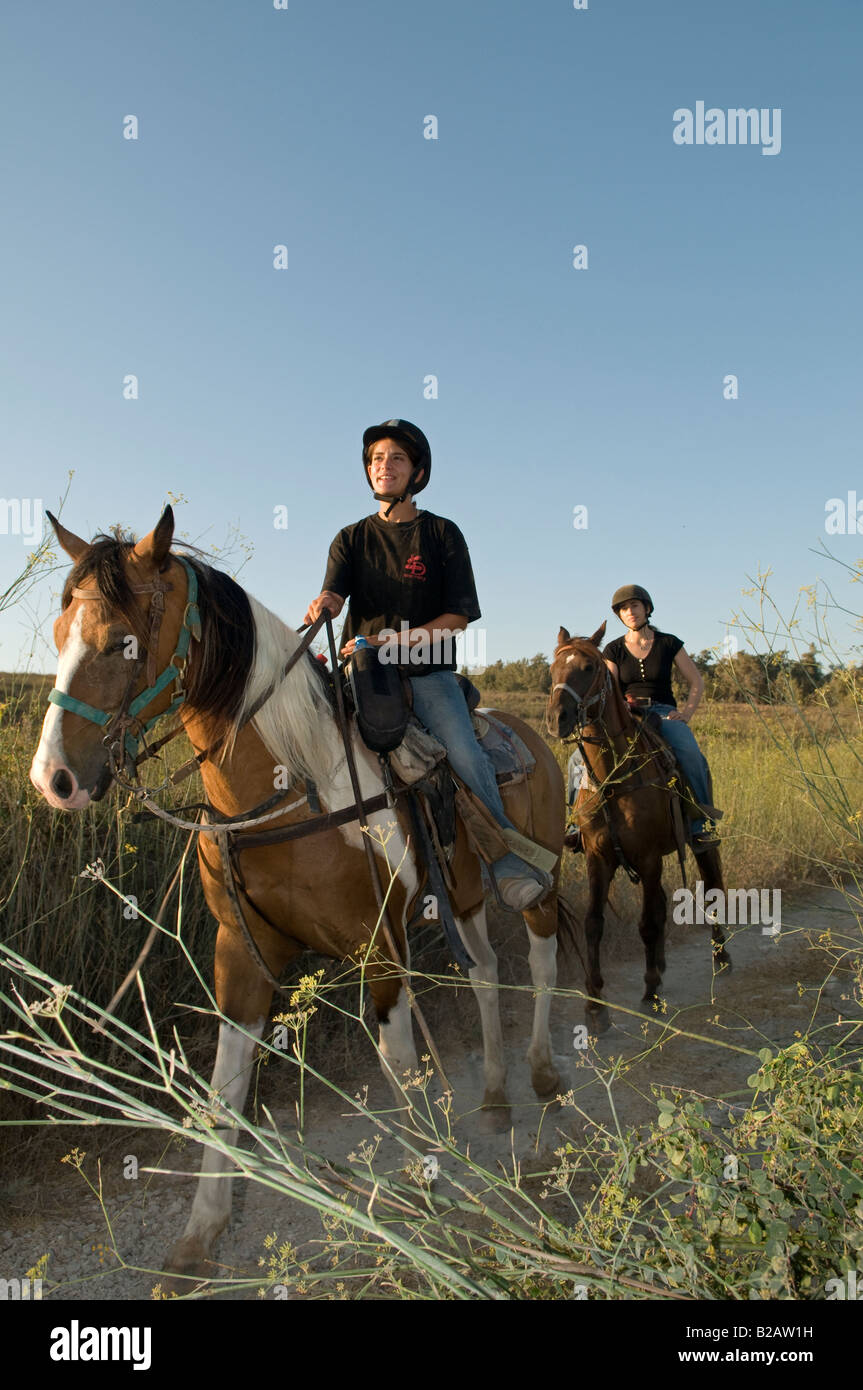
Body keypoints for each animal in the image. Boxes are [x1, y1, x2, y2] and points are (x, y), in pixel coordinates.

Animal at [29, 506, 572, 1285]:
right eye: (57, 634)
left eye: (120, 640)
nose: (54, 779)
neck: (295, 787)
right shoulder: (240, 955)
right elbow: (224, 1091)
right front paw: (198, 1238)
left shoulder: (382, 949)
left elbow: (400, 1073)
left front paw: (426, 1199)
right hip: (462, 896)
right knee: (488, 975)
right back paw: (496, 1095)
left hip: (532, 883)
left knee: (540, 960)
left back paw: (542, 1073)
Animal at [545, 624, 730, 1030]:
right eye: (552, 669)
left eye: (588, 667)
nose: (556, 719)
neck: (614, 777)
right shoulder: (598, 858)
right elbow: (594, 923)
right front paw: (595, 1002)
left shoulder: (647, 857)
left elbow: (647, 923)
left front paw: (650, 992)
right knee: (660, 903)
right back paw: (660, 965)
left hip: (695, 845)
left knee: (711, 889)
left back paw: (721, 957)